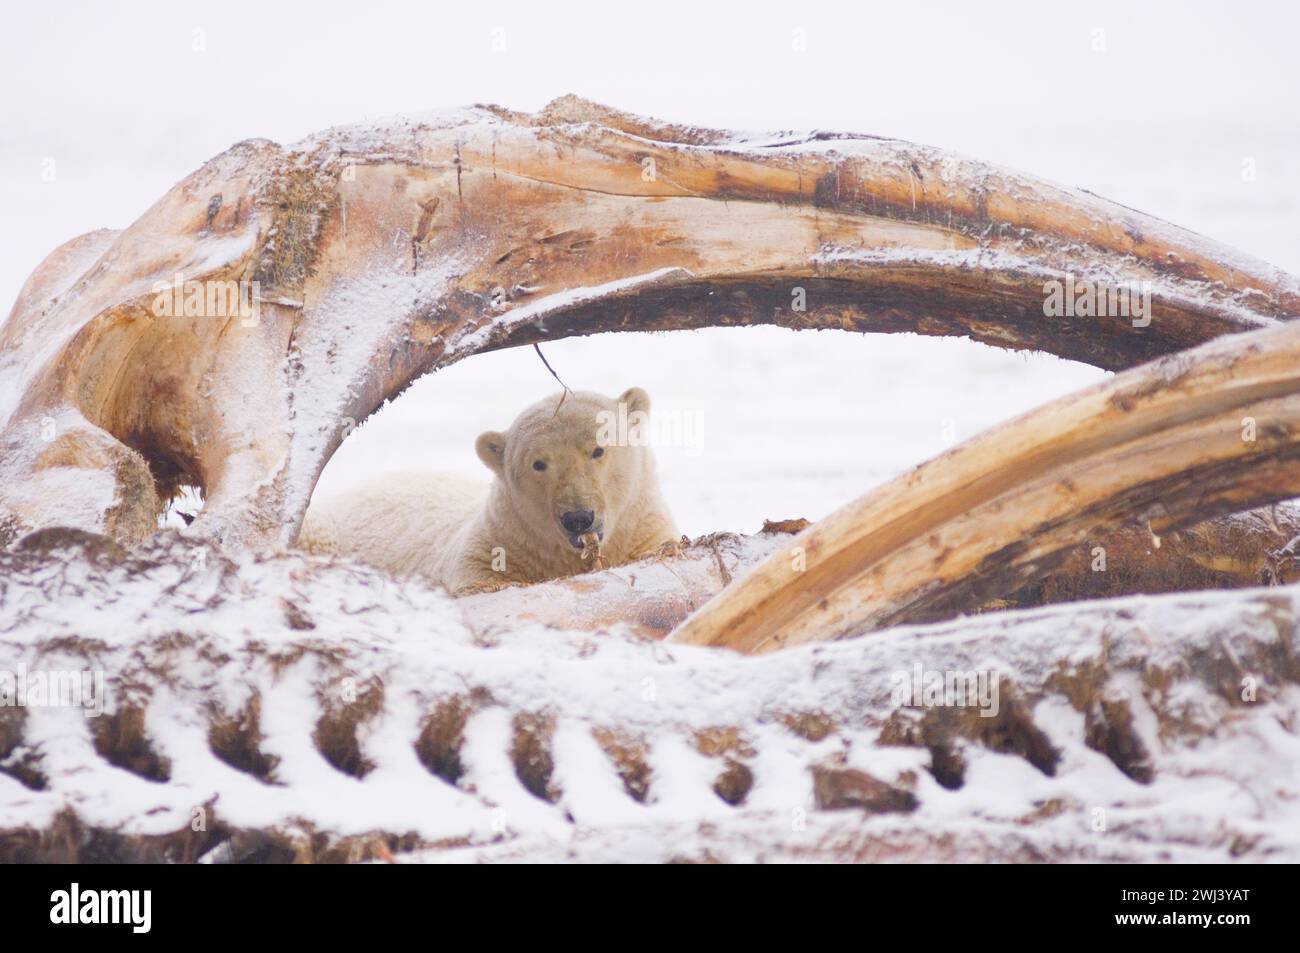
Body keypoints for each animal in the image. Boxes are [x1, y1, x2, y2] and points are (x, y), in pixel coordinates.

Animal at [297, 387, 679, 594]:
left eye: (598, 450)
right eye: (538, 463)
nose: (578, 518)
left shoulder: (643, 528)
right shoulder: (496, 545)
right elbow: (478, 580)